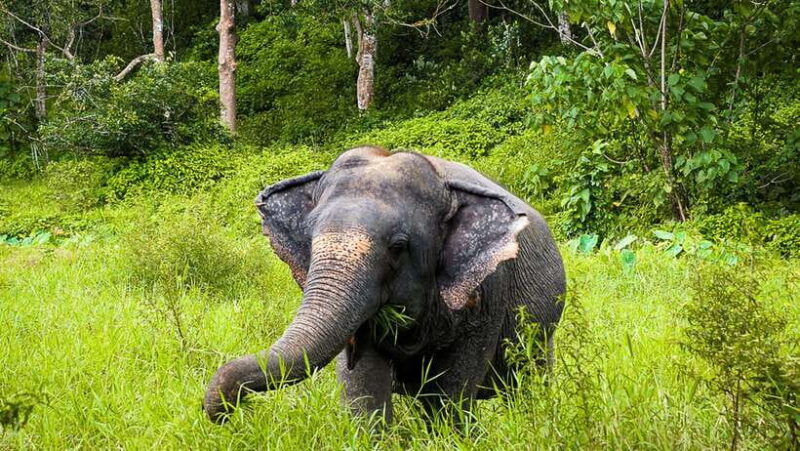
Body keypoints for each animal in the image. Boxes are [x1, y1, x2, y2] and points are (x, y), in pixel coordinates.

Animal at [203, 146, 566, 424]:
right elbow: (363, 386)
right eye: (309, 237)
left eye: (397, 247)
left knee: (528, 382)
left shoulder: (489, 289)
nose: (230, 411)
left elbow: (450, 391)